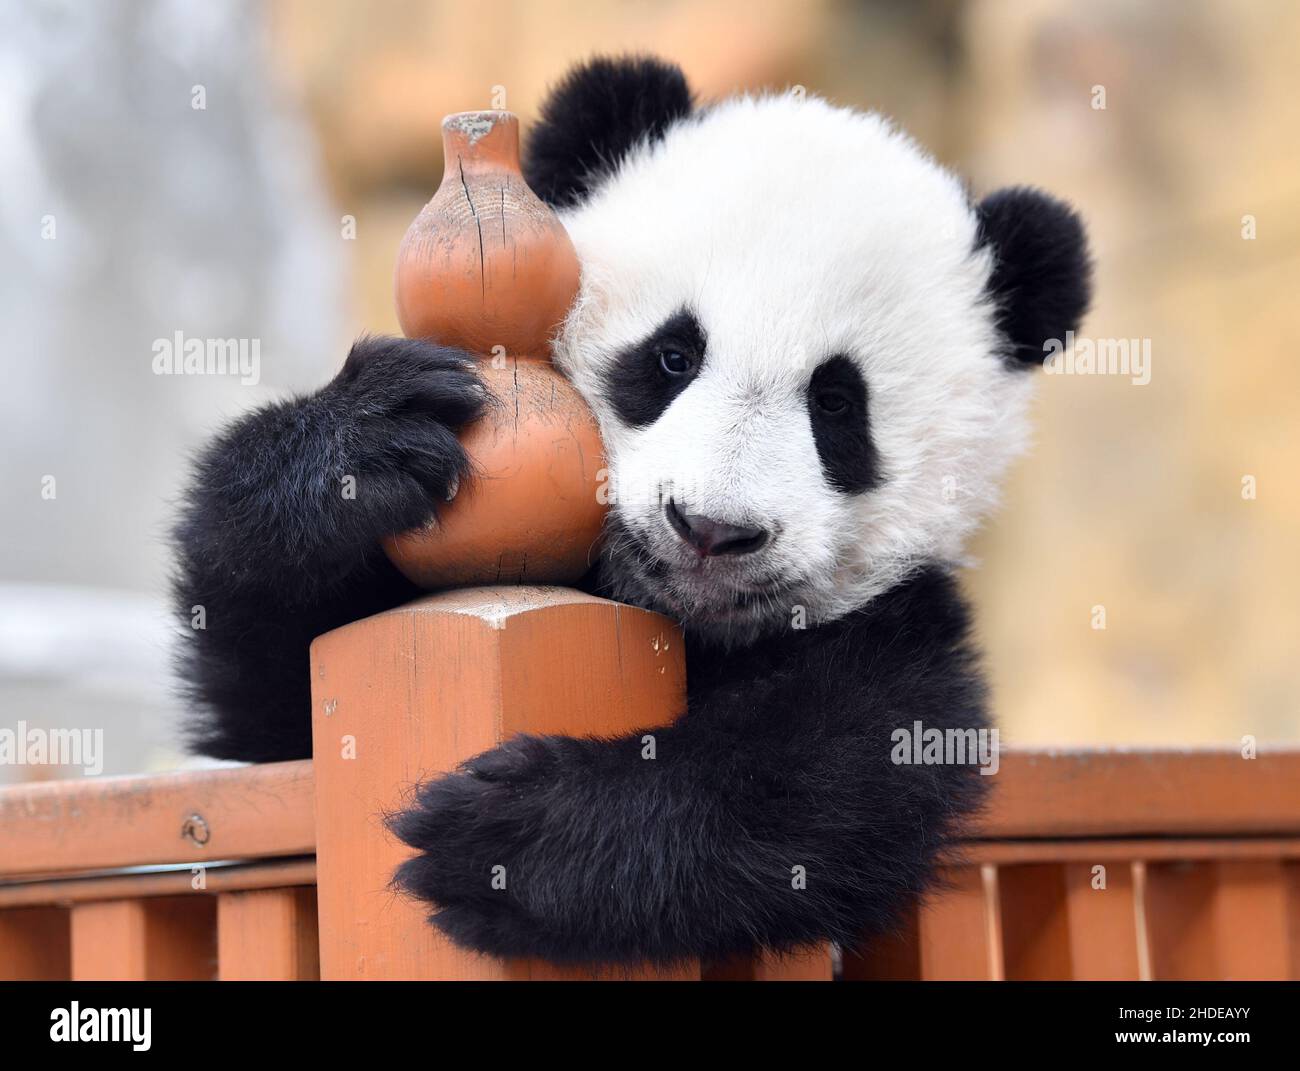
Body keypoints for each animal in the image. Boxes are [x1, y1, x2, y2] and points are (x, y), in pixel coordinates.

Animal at [173, 56, 1090, 966]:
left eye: (837, 405)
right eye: (672, 356)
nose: (711, 528)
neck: (678, 616)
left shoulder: (902, 632)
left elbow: (831, 789)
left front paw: (514, 839)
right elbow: (271, 727)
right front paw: (354, 451)